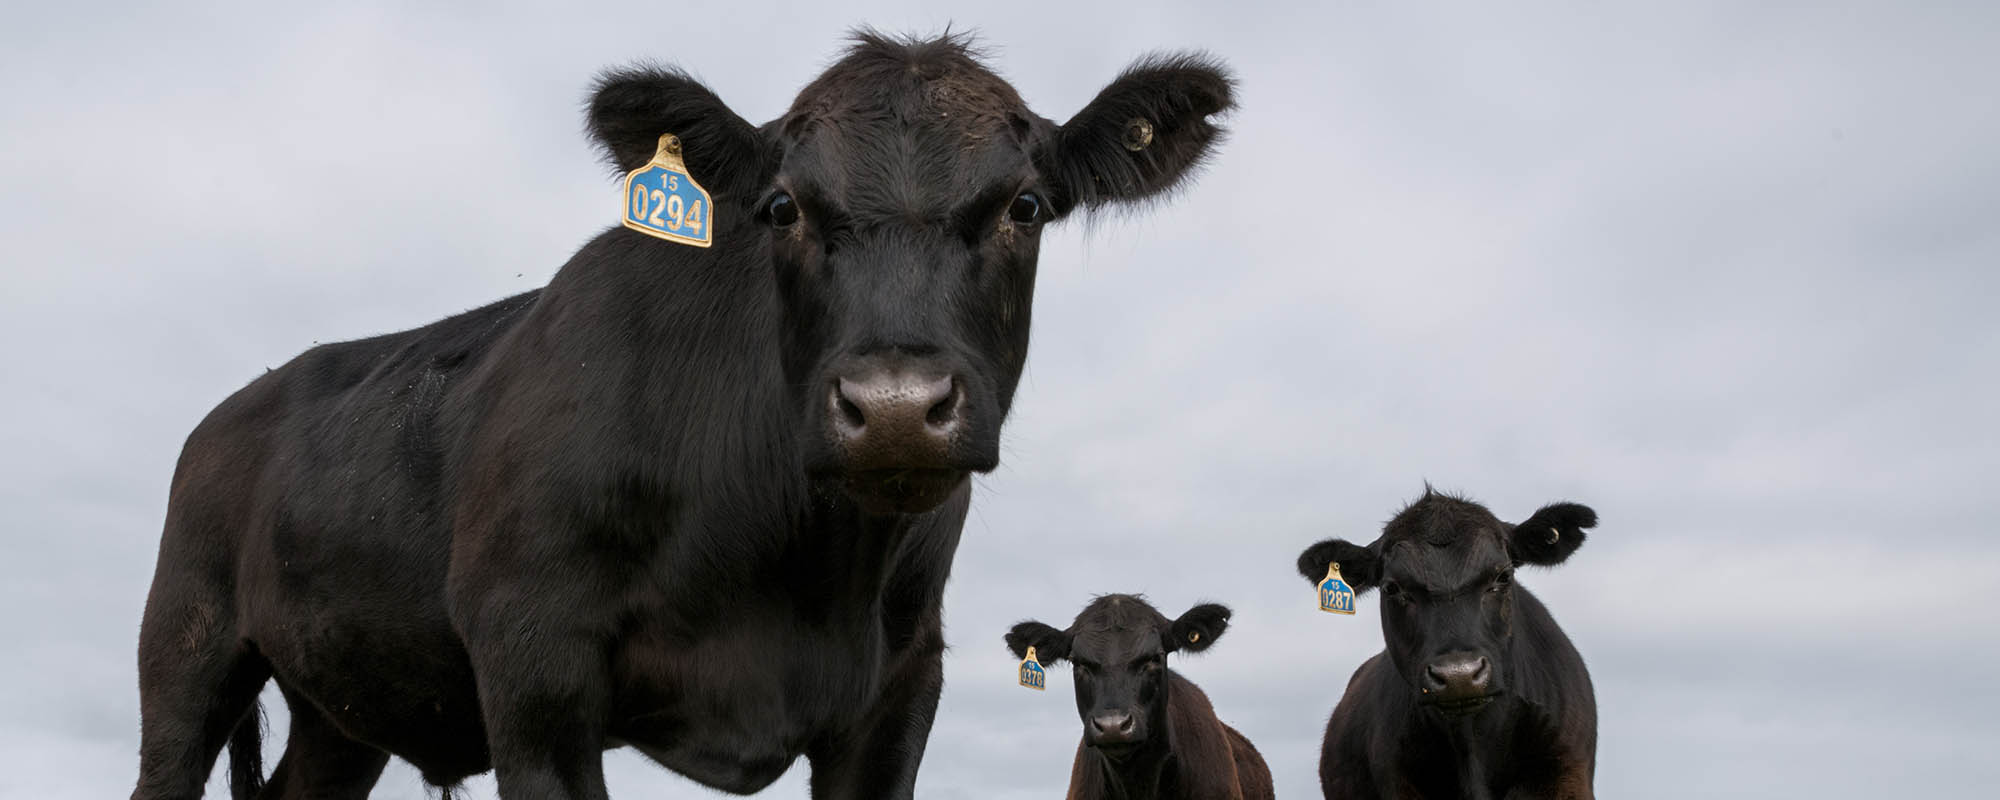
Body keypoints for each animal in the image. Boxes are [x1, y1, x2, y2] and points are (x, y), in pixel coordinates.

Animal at [131, 32, 1235, 800]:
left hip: (342, 708)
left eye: (1025, 208)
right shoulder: (531, 665)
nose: (891, 408)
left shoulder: (898, 689)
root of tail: (245, 396)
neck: (792, 578)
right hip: (186, 642)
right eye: (783, 207)